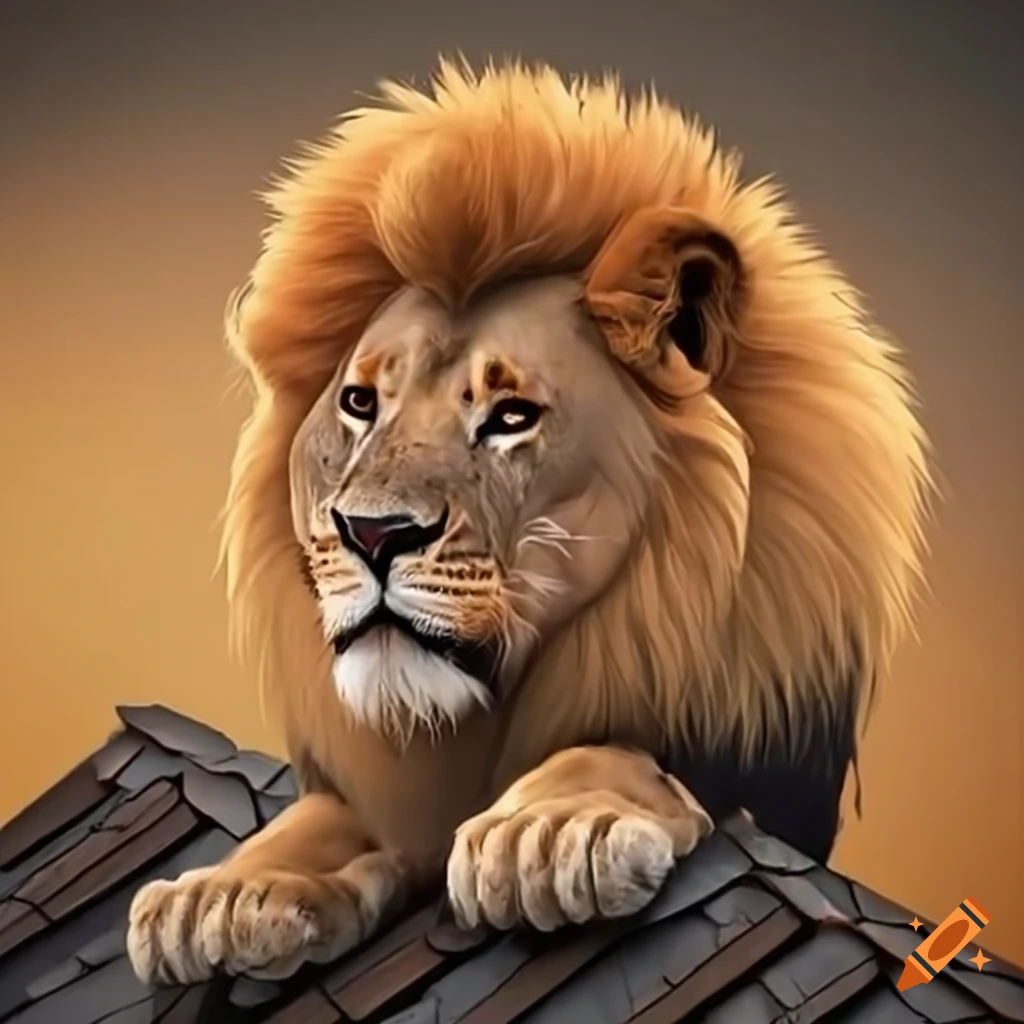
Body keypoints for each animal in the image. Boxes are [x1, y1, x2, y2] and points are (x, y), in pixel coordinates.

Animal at [126, 59, 932, 985]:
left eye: (511, 416)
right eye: (360, 403)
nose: (371, 535)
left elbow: (612, 751)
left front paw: (548, 832)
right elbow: (325, 824)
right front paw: (227, 891)